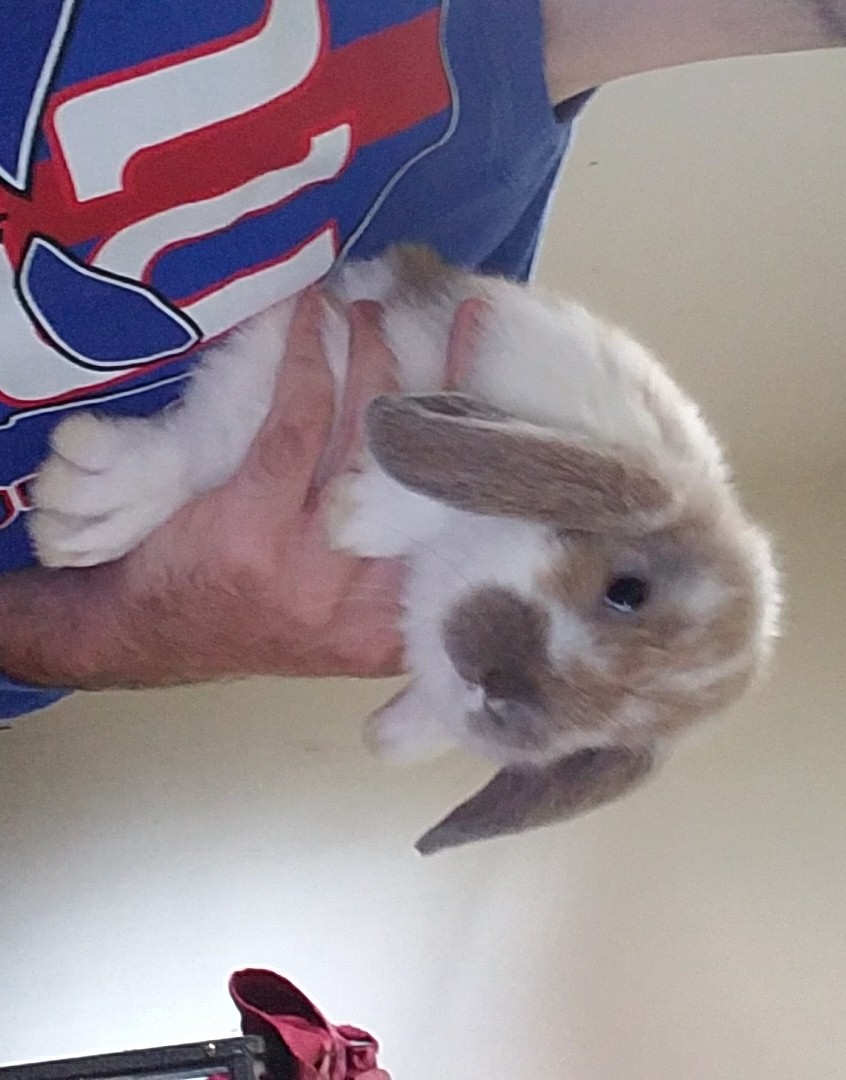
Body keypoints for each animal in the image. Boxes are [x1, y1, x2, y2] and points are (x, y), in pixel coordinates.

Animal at [28, 245, 781, 854]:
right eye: (627, 591)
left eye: (604, 736)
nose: (497, 686)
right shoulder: (343, 337)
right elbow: (209, 450)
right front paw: (84, 503)